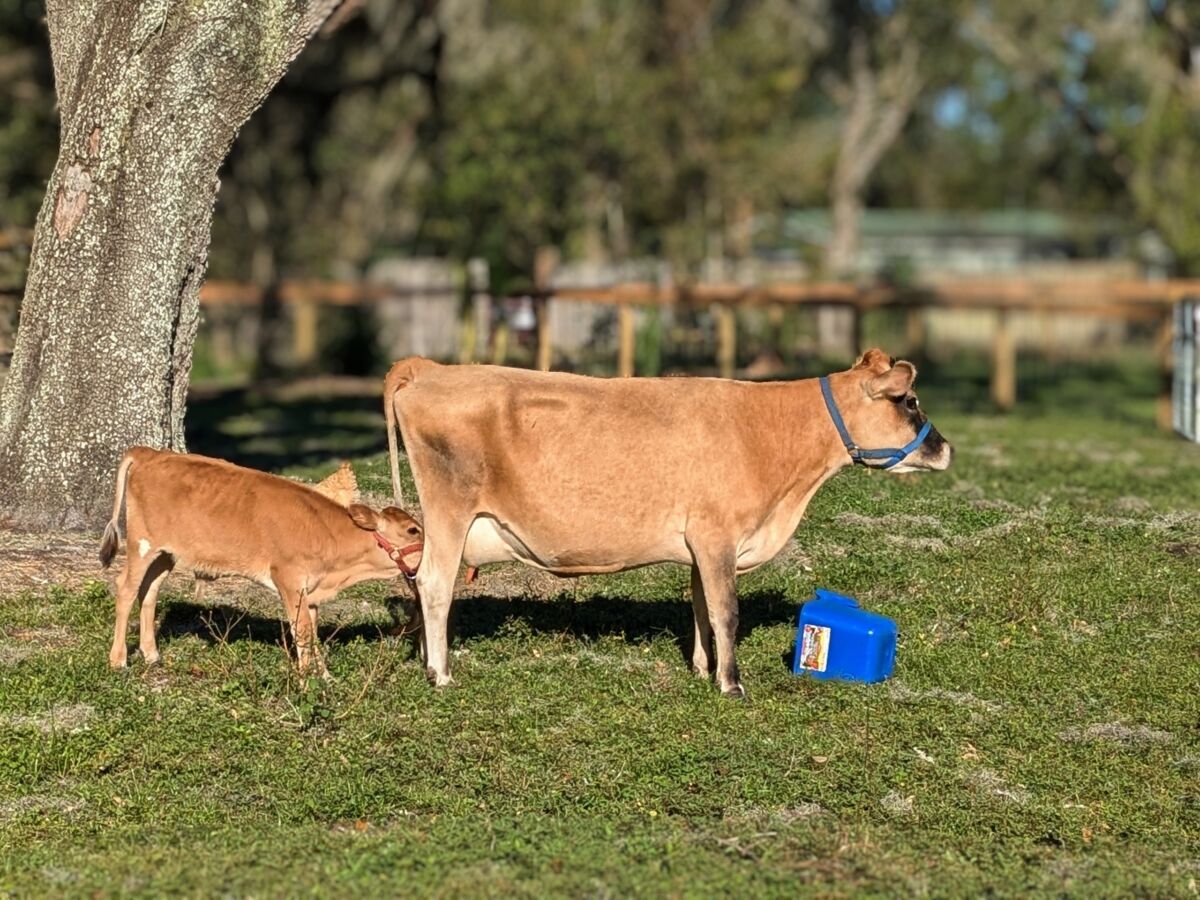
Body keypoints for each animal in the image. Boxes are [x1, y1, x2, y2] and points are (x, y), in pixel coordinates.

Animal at [99, 448, 424, 675]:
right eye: (412, 529)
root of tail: (150, 453)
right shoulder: (289, 579)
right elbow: (302, 632)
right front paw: (306, 680)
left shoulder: (311, 589)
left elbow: (313, 631)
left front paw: (323, 675)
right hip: (142, 544)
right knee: (126, 589)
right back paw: (118, 660)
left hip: (166, 554)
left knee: (149, 591)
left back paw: (152, 655)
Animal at [384, 348, 951, 697]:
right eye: (909, 400)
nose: (945, 448)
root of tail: (428, 367)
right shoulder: (718, 534)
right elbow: (726, 612)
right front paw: (731, 683)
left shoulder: (702, 543)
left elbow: (700, 606)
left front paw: (702, 669)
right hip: (451, 508)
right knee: (434, 583)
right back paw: (440, 672)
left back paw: (426, 656)